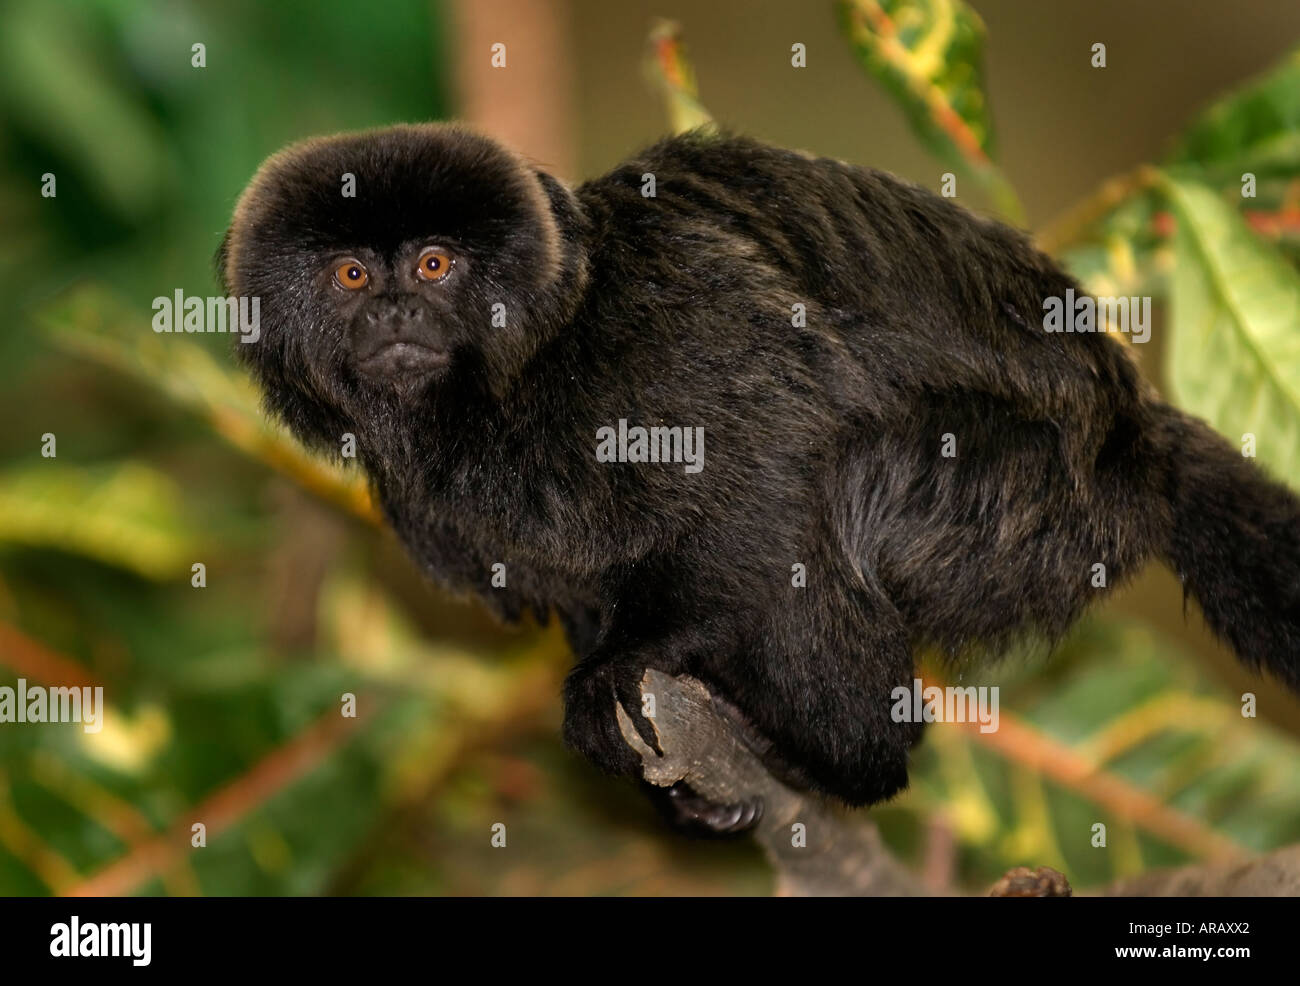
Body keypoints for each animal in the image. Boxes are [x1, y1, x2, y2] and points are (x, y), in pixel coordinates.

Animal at [220, 122, 1300, 831]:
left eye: (436, 265)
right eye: (354, 276)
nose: (395, 314)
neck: (517, 379)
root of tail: (1134, 432)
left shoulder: (663, 325)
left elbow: (768, 455)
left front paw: (627, 662)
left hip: (1015, 495)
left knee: (831, 494)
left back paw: (847, 759)